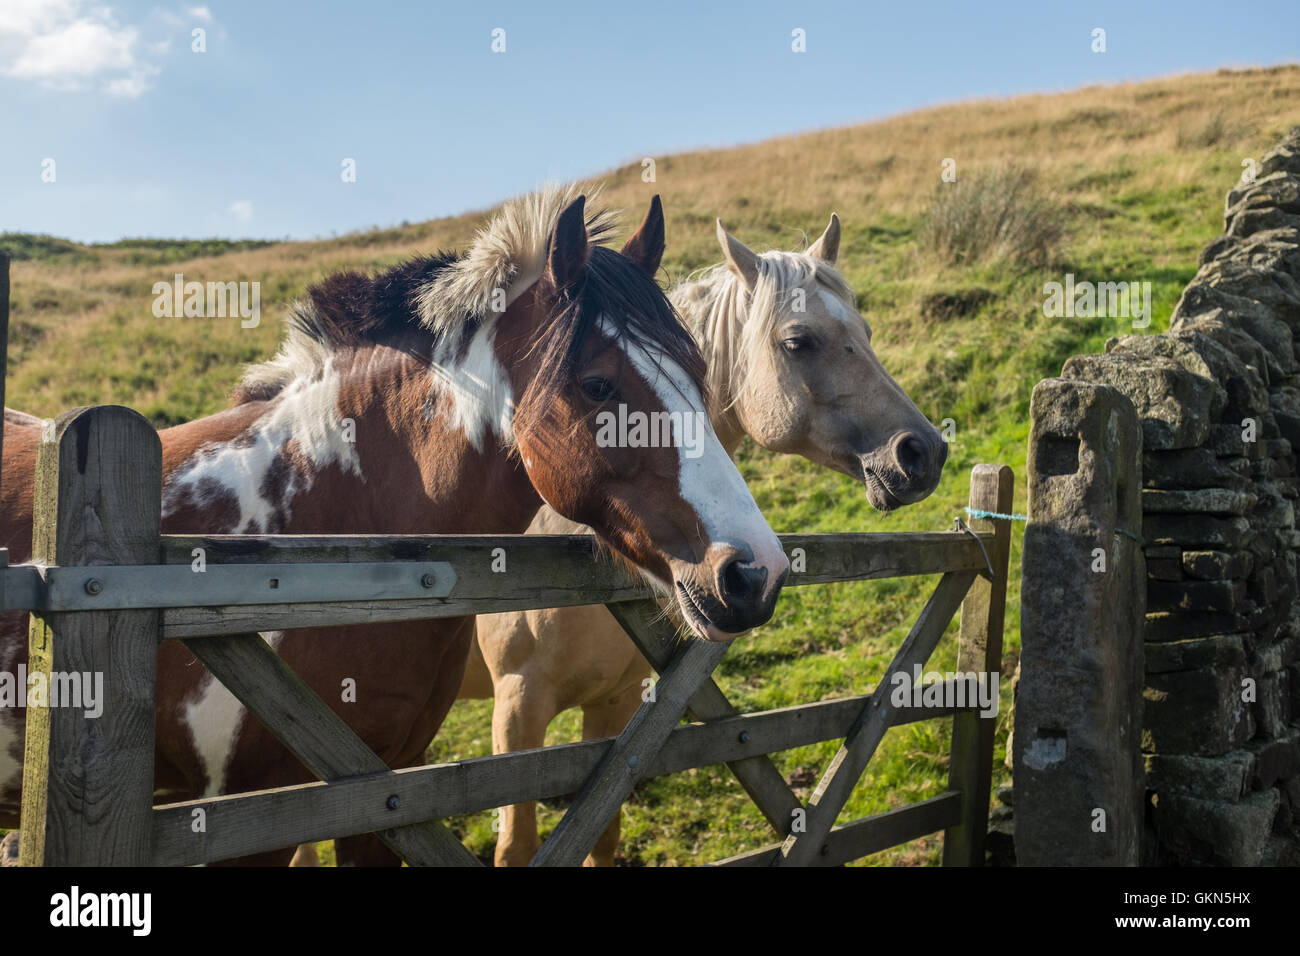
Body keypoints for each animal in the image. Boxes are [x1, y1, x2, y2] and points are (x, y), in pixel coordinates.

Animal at [459, 214, 948, 866]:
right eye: (799, 342)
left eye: (865, 332)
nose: (924, 452)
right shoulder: (516, 710)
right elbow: (515, 845)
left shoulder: (615, 708)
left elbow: (603, 837)